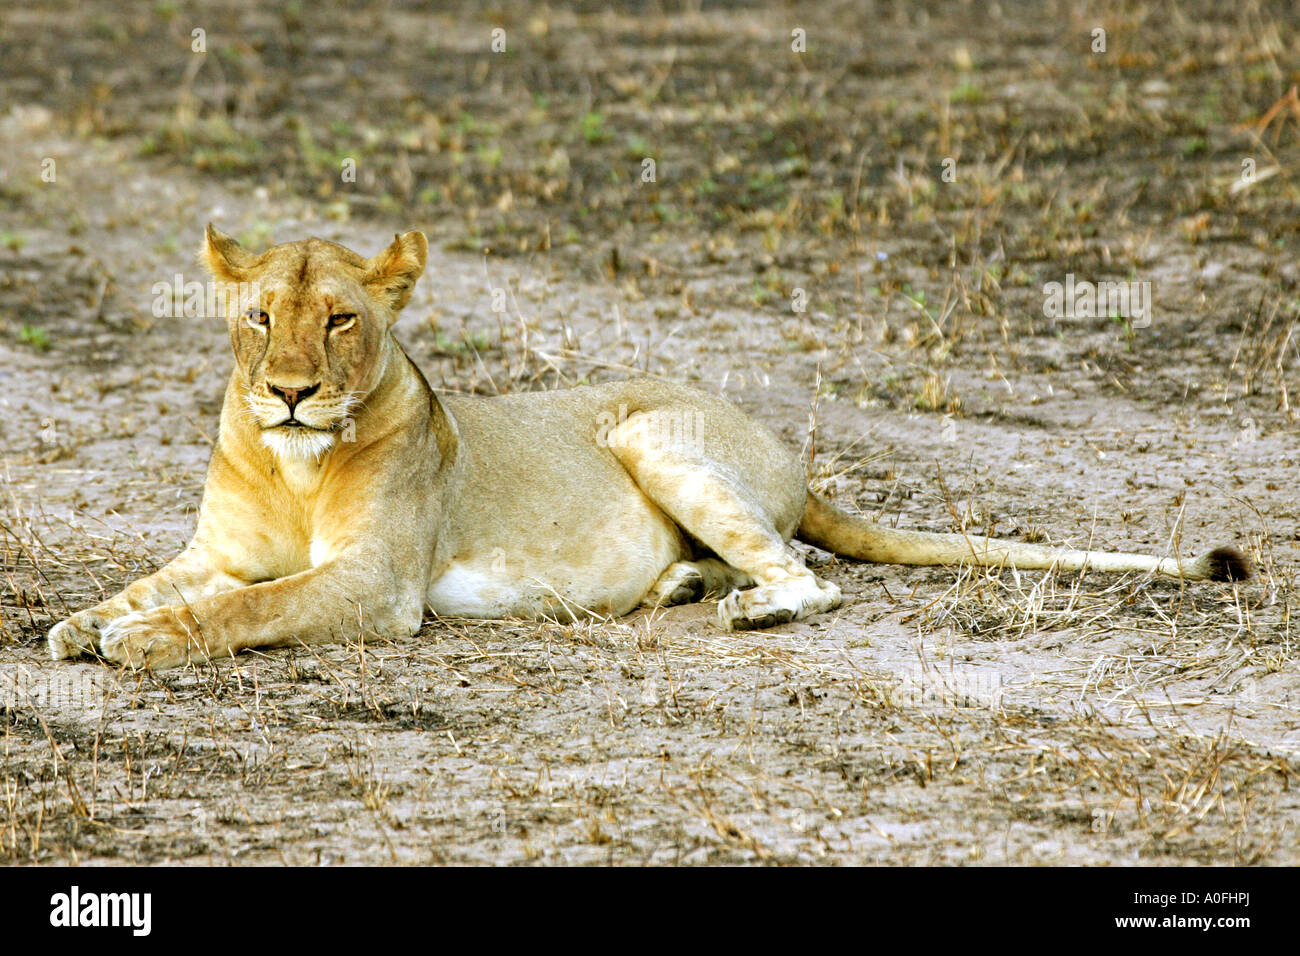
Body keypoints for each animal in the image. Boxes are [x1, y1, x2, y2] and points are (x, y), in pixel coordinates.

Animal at [47, 227, 1252, 669]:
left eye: (340, 318)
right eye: (260, 317)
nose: (291, 392)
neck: (294, 463)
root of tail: (788, 454)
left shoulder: (377, 583)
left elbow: (248, 607)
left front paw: (142, 639)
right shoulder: (220, 550)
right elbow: (159, 582)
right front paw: (83, 623)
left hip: (648, 433)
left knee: (807, 574)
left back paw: (745, 605)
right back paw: (676, 584)